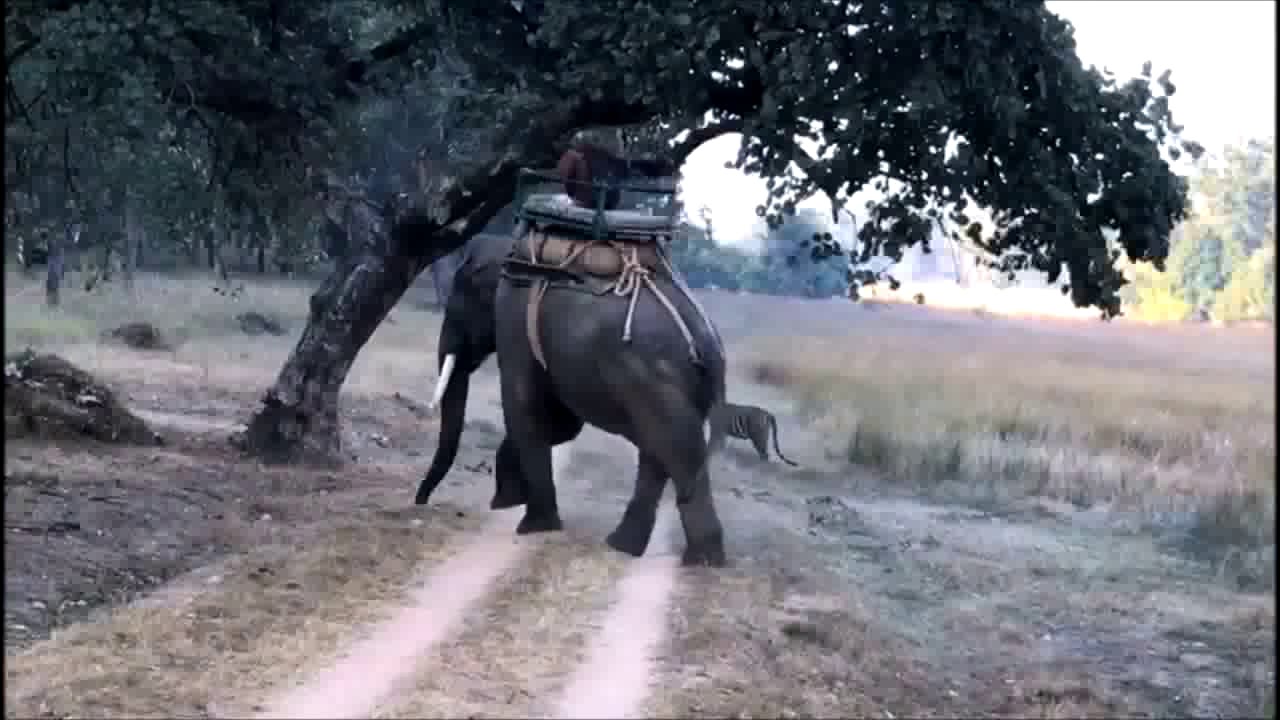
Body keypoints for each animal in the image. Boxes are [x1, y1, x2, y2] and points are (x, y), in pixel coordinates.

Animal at [414, 190, 730, 566]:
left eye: (459, 304)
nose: (420, 502)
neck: (508, 249)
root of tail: (706, 342)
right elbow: (561, 422)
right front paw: (508, 500)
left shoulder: (514, 316)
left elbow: (523, 405)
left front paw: (531, 524)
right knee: (659, 451)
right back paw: (627, 546)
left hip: (655, 375)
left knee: (675, 449)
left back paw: (701, 560)